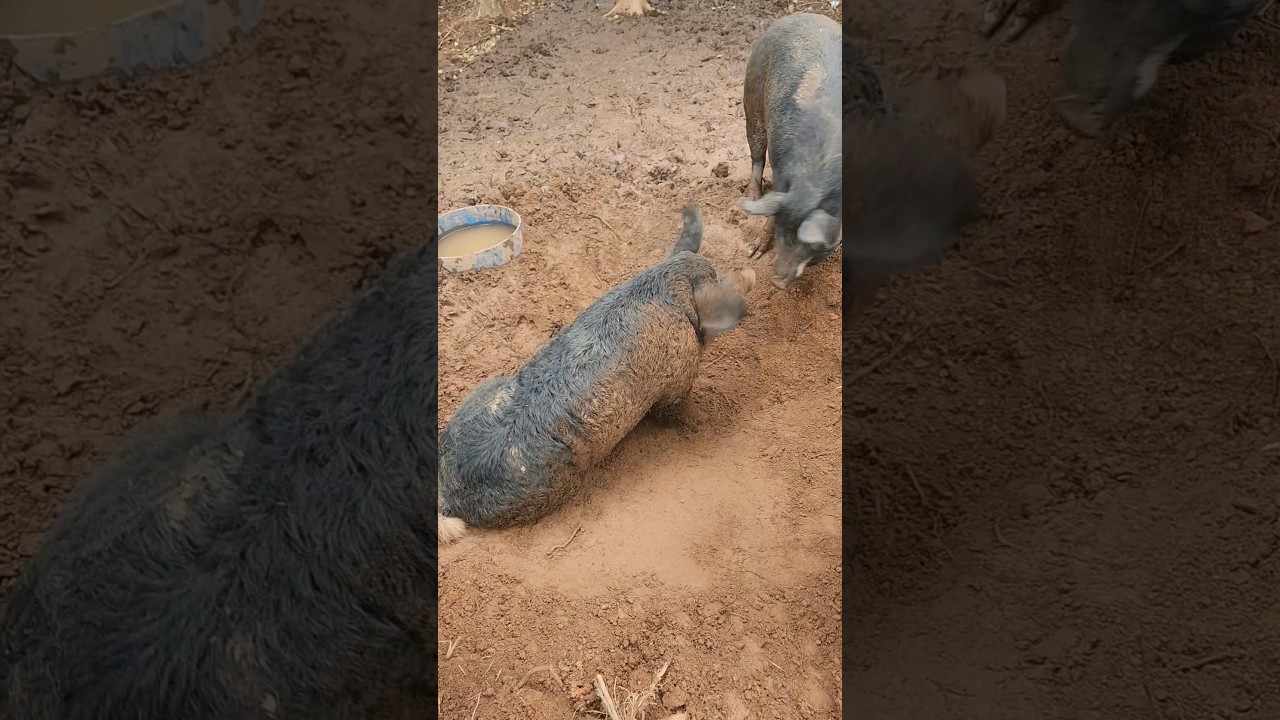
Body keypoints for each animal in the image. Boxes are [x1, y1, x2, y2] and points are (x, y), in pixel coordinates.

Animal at [438, 205, 754, 542]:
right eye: (720, 281)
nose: (751, 273)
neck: (673, 291)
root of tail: (448, 488)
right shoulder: (677, 377)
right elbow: (681, 408)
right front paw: (705, 422)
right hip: (550, 489)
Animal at [739, 12, 843, 291]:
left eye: (810, 243)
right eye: (780, 230)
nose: (776, 282)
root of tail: (798, 15)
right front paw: (753, 251)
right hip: (752, 95)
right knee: (756, 156)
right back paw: (752, 199)